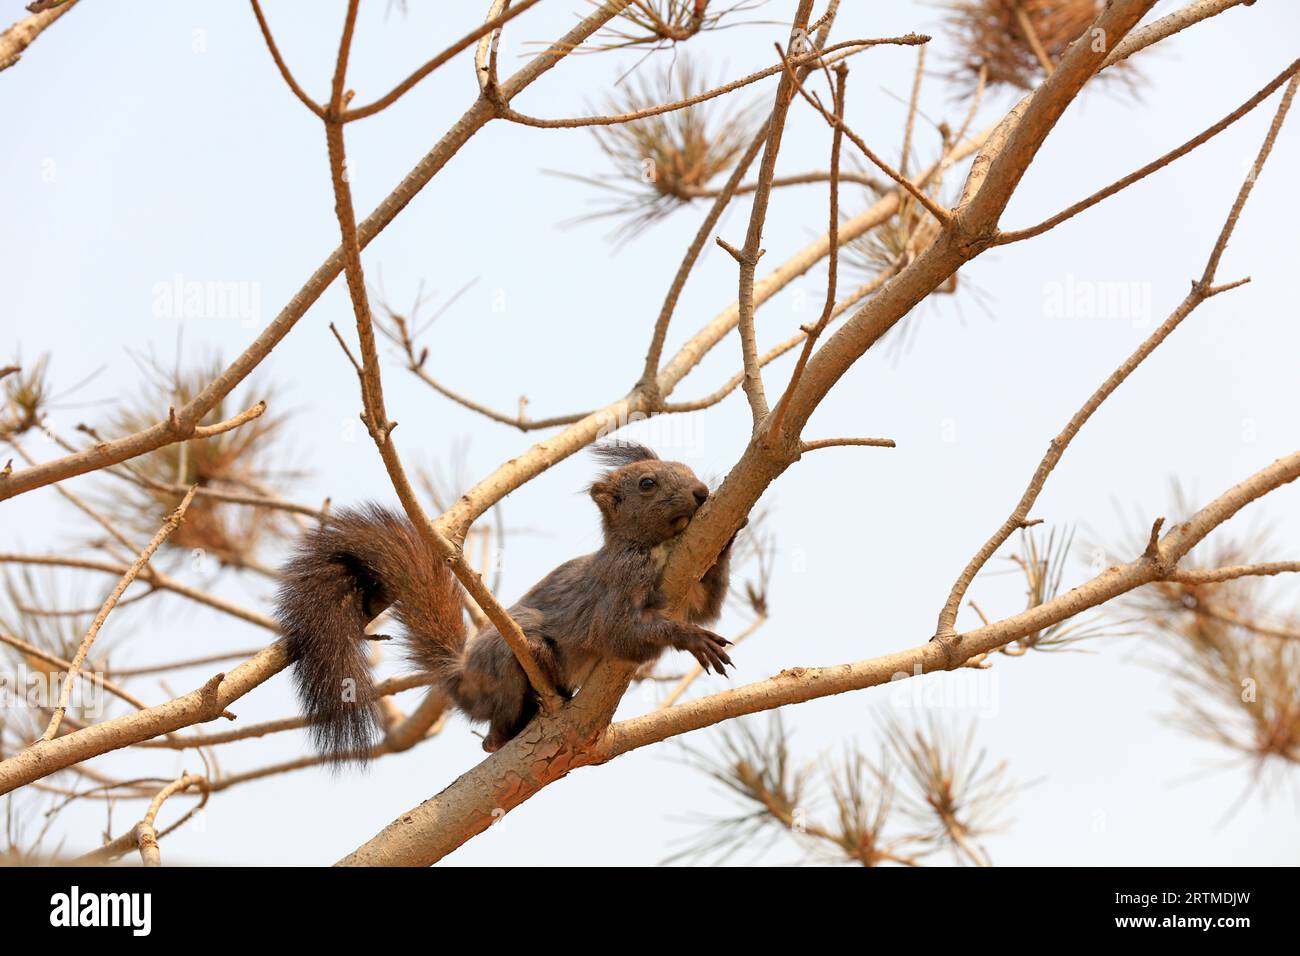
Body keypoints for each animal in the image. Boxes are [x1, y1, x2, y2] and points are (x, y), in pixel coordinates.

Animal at [275, 442, 739, 763]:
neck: (654, 547)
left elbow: (707, 606)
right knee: (496, 725)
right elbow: (617, 630)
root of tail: (463, 678)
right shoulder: (617, 582)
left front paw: (731, 533)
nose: (701, 492)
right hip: (503, 654)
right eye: (647, 484)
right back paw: (518, 704)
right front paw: (691, 638)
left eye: (688, 470)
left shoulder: (688, 585)